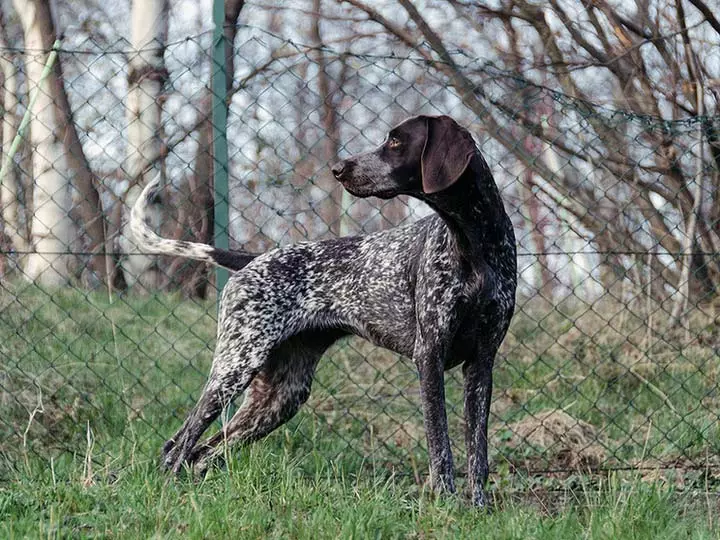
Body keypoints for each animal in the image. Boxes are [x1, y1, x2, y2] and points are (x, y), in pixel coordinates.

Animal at [131, 115, 516, 506]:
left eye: (395, 142)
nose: (338, 168)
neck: (473, 244)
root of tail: (253, 259)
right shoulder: (430, 356)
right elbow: (441, 447)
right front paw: (445, 503)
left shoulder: (481, 362)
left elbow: (477, 452)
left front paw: (478, 507)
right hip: (235, 366)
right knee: (180, 444)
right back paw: (169, 491)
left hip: (279, 396)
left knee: (203, 452)